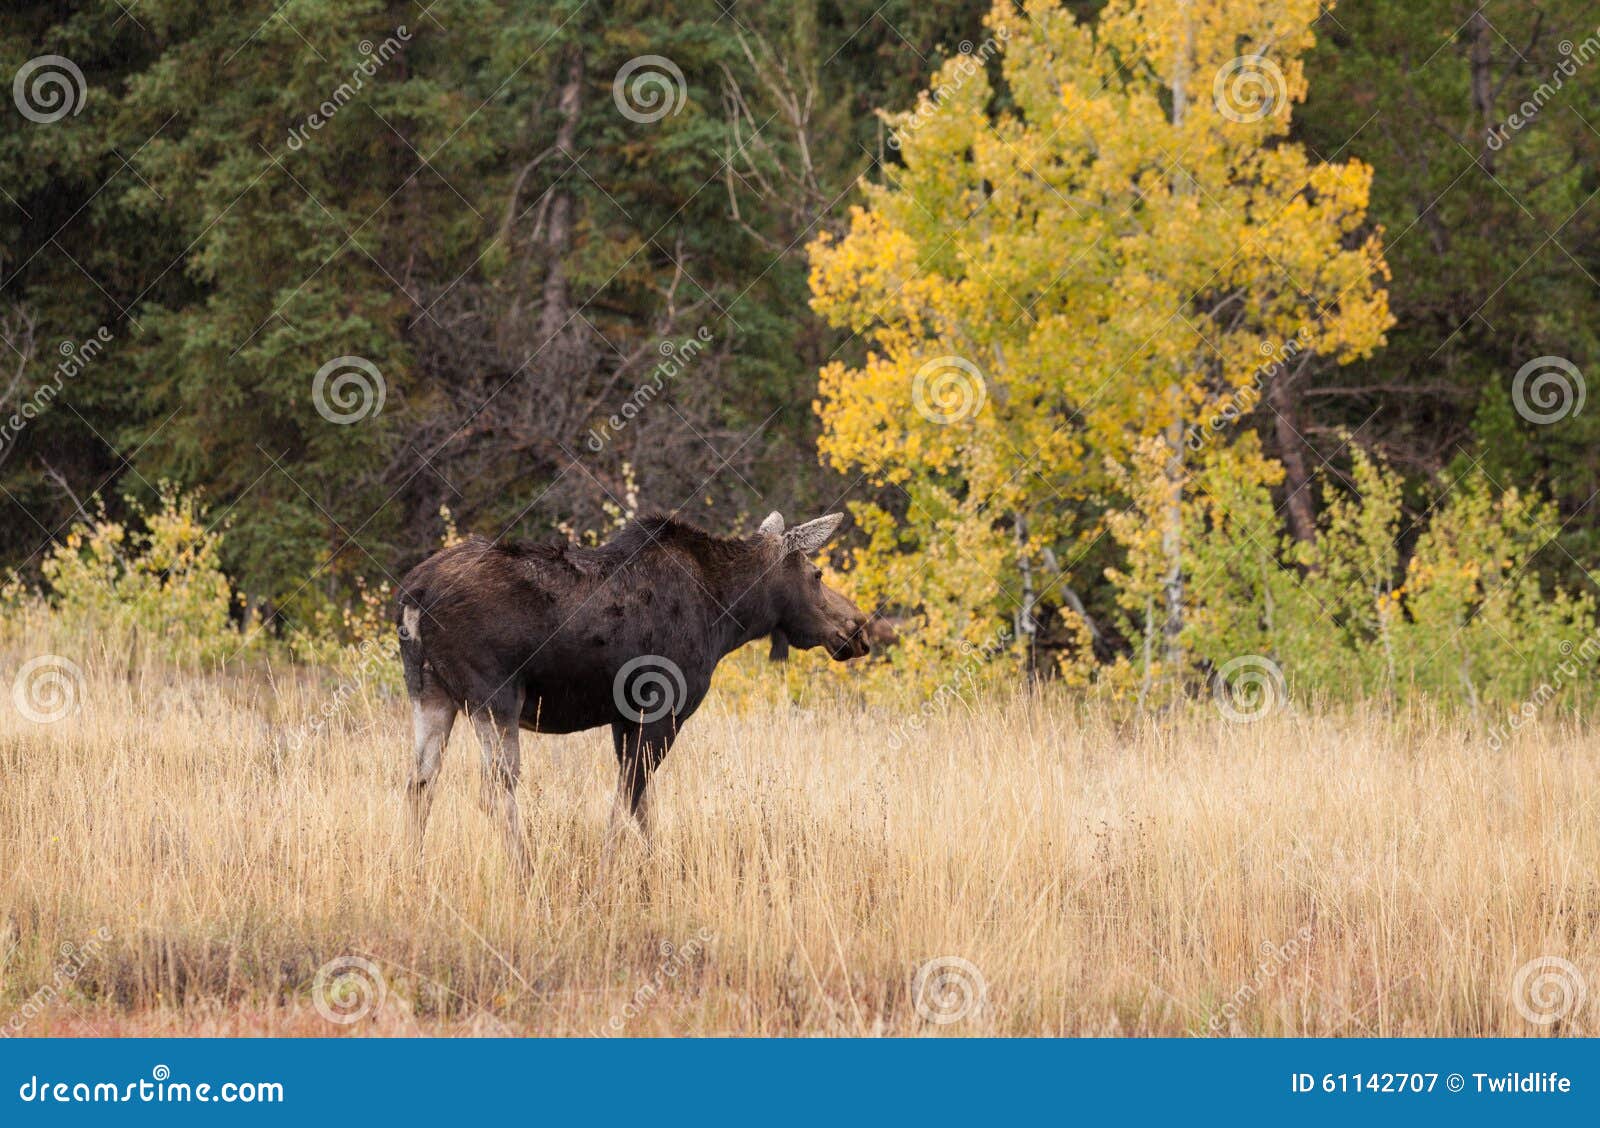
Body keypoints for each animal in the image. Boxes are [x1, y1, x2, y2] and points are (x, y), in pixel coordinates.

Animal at [395, 510, 872, 879]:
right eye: (816, 574)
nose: (858, 628)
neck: (727, 615)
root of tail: (414, 596)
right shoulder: (663, 708)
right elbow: (627, 802)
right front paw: (607, 877)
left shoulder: (624, 717)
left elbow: (643, 807)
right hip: (495, 695)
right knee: (495, 791)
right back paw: (527, 877)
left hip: (431, 692)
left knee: (420, 783)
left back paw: (412, 873)